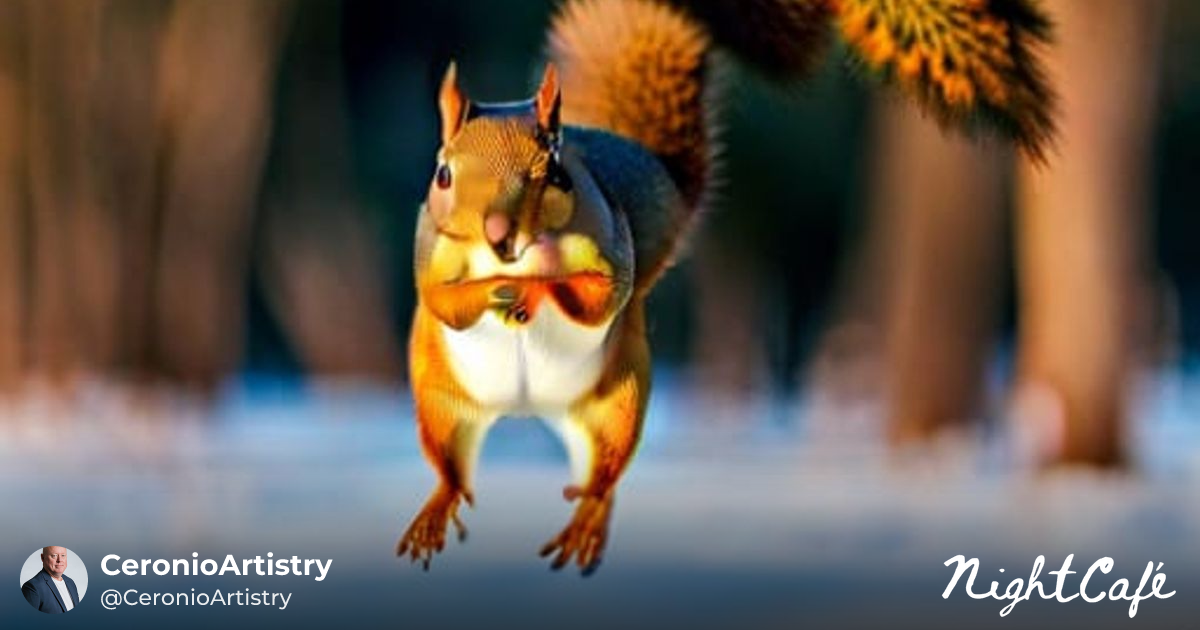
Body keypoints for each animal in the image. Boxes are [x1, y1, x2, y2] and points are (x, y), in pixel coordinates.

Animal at [397, 0, 1057, 574]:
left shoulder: (610, 249)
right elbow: (441, 300)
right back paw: (437, 509)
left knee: (604, 474)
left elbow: (601, 294)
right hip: (440, 400)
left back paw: (586, 520)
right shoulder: (430, 252)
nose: (500, 236)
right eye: (443, 173)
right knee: (452, 468)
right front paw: (493, 292)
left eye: (554, 172)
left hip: (617, 402)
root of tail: (531, 410)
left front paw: (536, 292)